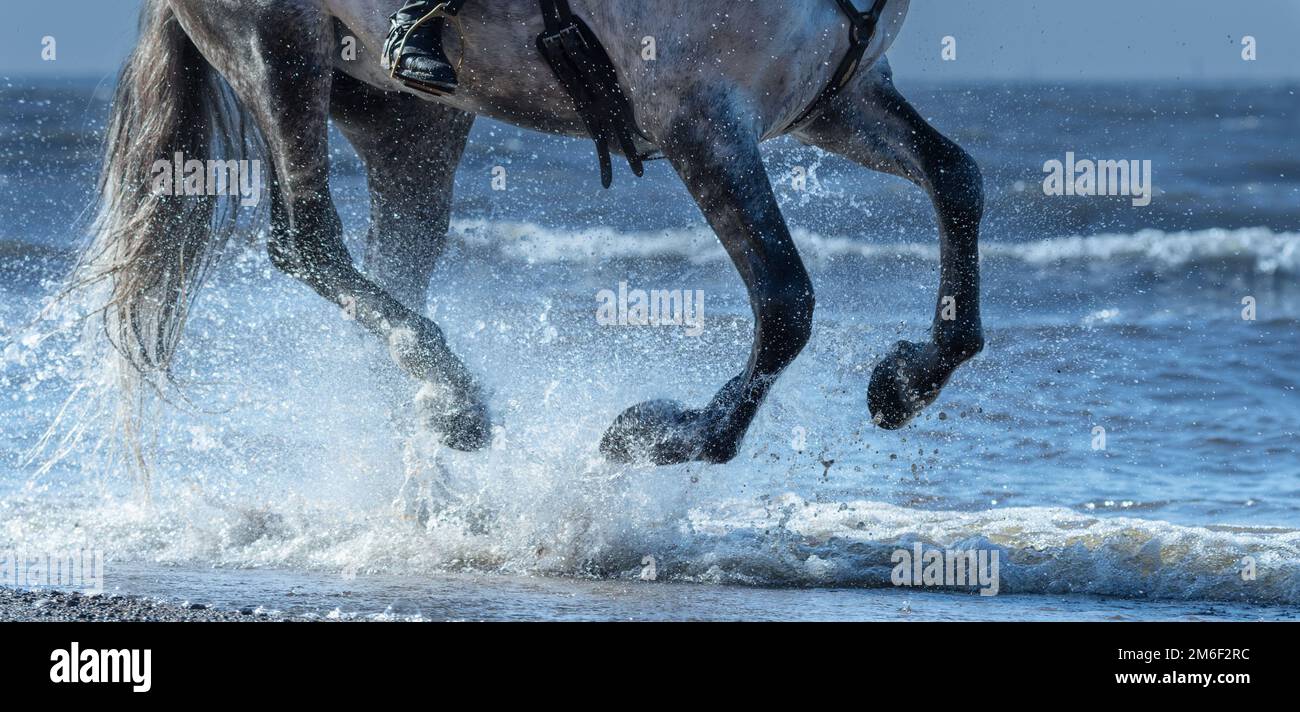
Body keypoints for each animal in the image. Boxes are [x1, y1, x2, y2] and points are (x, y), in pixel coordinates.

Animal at [83, 0, 984, 467]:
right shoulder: (701, 120)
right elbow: (787, 300)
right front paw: (666, 434)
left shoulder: (841, 98)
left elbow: (957, 179)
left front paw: (909, 379)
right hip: (277, 47)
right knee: (306, 242)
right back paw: (457, 402)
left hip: (407, 121)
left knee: (387, 267)